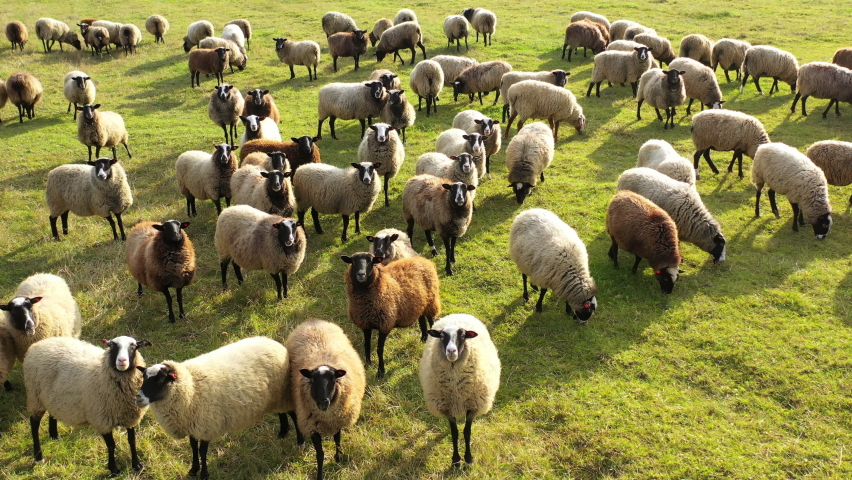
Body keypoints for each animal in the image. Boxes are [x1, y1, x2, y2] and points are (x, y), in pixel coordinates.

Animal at [25, 336, 150, 475]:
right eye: (112, 346)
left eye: (134, 346)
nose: (122, 360)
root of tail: (40, 343)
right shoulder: (102, 419)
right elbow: (111, 445)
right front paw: (113, 469)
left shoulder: (130, 417)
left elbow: (132, 441)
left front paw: (137, 465)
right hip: (35, 397)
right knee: (34, 424)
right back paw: (38, 457)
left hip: (52, 398)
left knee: (52, 413)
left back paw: (54, 435)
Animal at [136, 337, 293, 479]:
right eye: (143, 378)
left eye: (160, 380)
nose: (138, 399)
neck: (191, 386)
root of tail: (274, 342)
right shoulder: (193, 425)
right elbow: (193, 447)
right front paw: (193, 469)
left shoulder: (206, 426)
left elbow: (202, 451)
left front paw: (204, 474)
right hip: (276, 397)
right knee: (281, 412)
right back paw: (283, 432)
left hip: (282, 391)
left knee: (292, 412)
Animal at [285, 319, 365, 480]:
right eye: (312, 380)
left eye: (333, 380)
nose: (323, 403)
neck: (326, 417)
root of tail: (312, 320)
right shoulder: (312, 426)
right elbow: (320, 454)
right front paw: (320, 475)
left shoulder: (337, 419)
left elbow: (337, 440)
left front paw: (338, 458)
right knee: (294, 416)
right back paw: (300, 441)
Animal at [419, 313, 500, 468]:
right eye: (442, 336)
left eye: (462, 335)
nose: (451, 351)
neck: (456, 389)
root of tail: (456, 314)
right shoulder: (447, 408)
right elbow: (455, 432)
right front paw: (456, 459)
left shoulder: (472, 406)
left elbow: (466, 432)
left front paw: (468, 458)